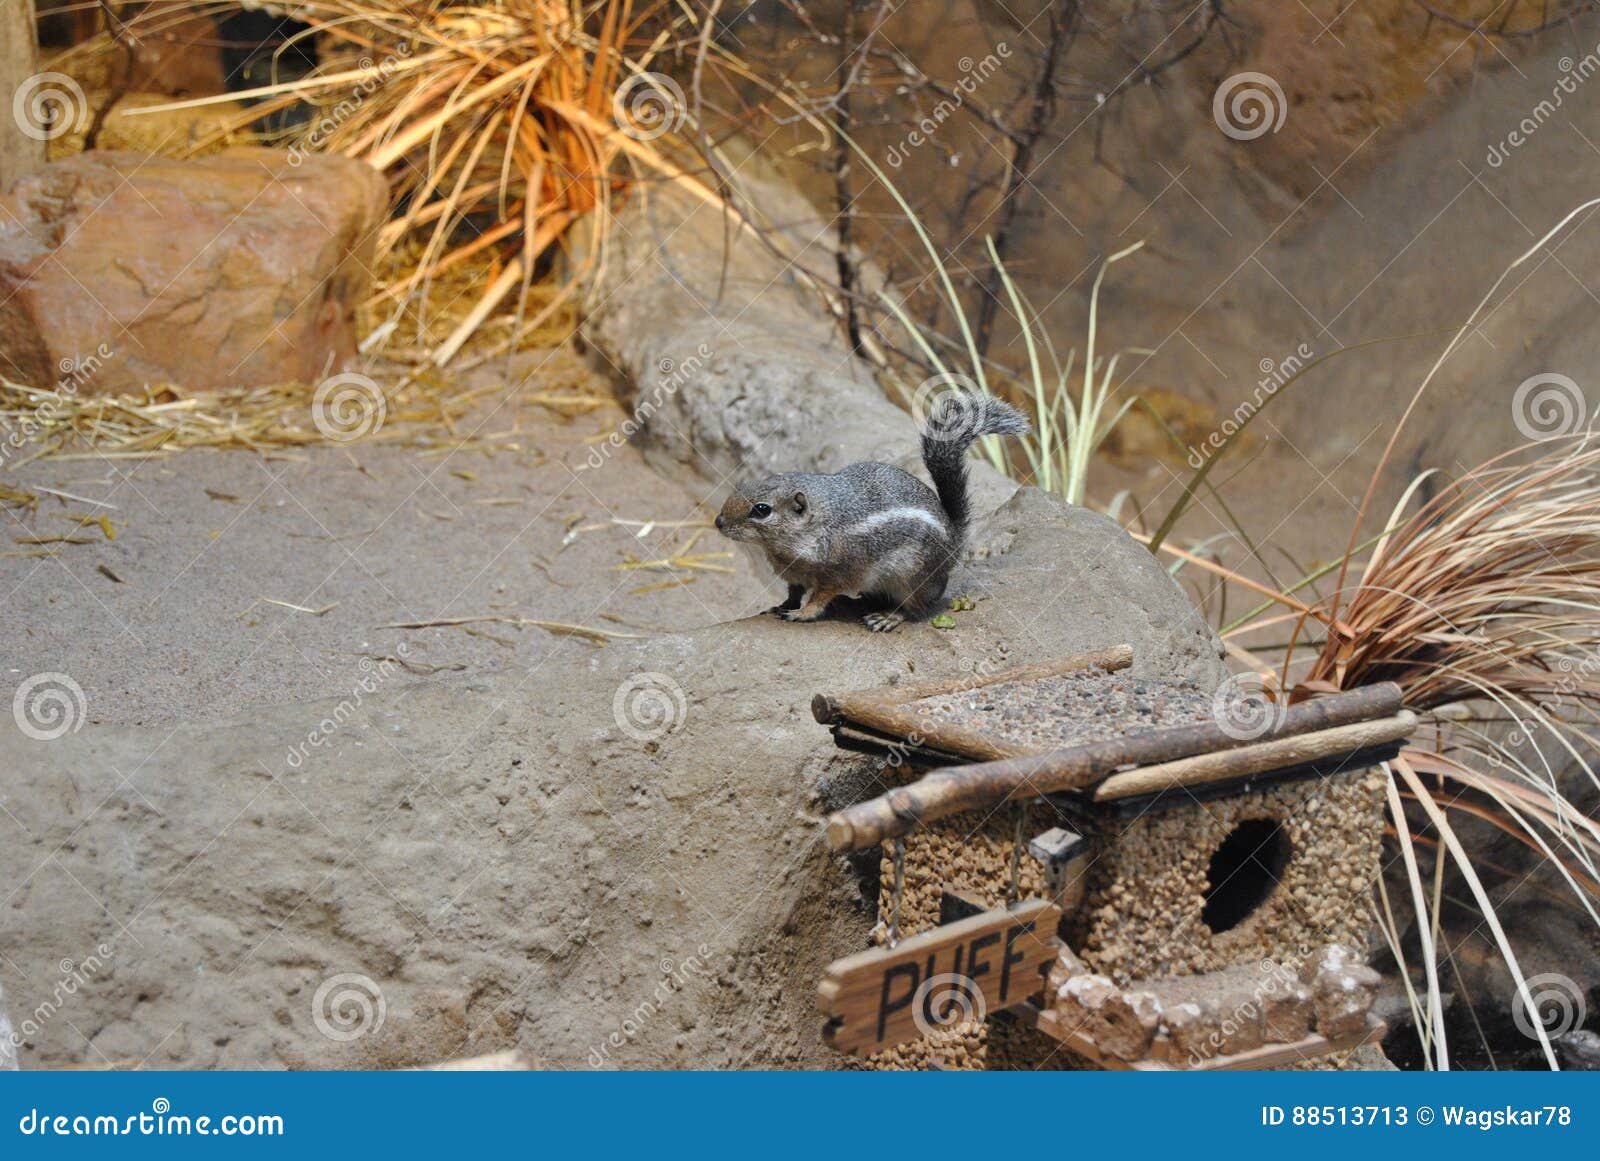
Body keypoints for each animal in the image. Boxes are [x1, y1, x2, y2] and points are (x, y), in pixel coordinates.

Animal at [714, 393, 1030, 631]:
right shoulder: (793, 574)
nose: (718, 522)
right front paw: (782, 606)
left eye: (761, 510)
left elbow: (819, 598)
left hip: (911, 577)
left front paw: (802, 614)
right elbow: (793, 593)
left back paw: (887, 618)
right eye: (747, 483)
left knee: (916, 606)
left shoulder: (838, 573)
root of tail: (954, 541)